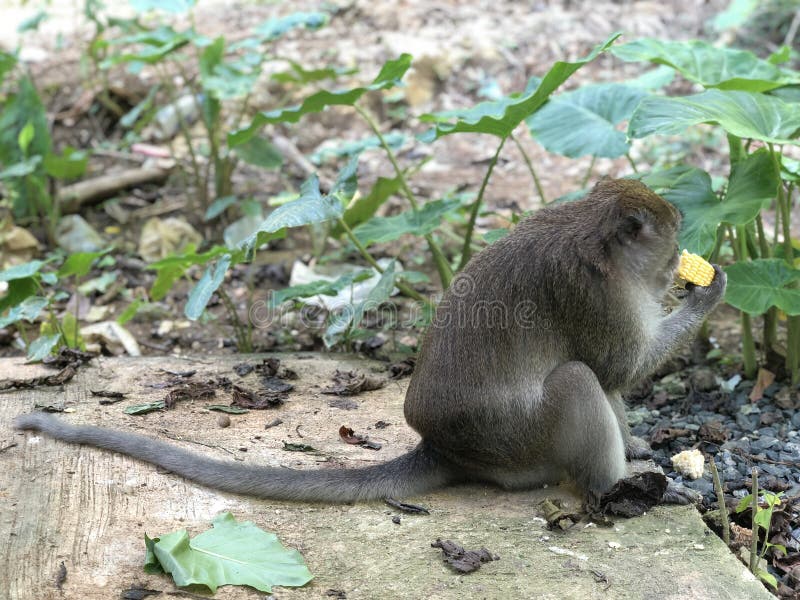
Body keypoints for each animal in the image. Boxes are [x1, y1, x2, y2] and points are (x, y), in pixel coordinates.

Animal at [13, 178, 726, 505]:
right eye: (669, 236)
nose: (681, 257)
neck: (595, 237)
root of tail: (444, 448)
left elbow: (617, 376)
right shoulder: (595, 296)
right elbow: (618, 366)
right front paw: (708, 293)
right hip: (520, 444)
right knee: (578, 378)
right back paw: (617, 485)